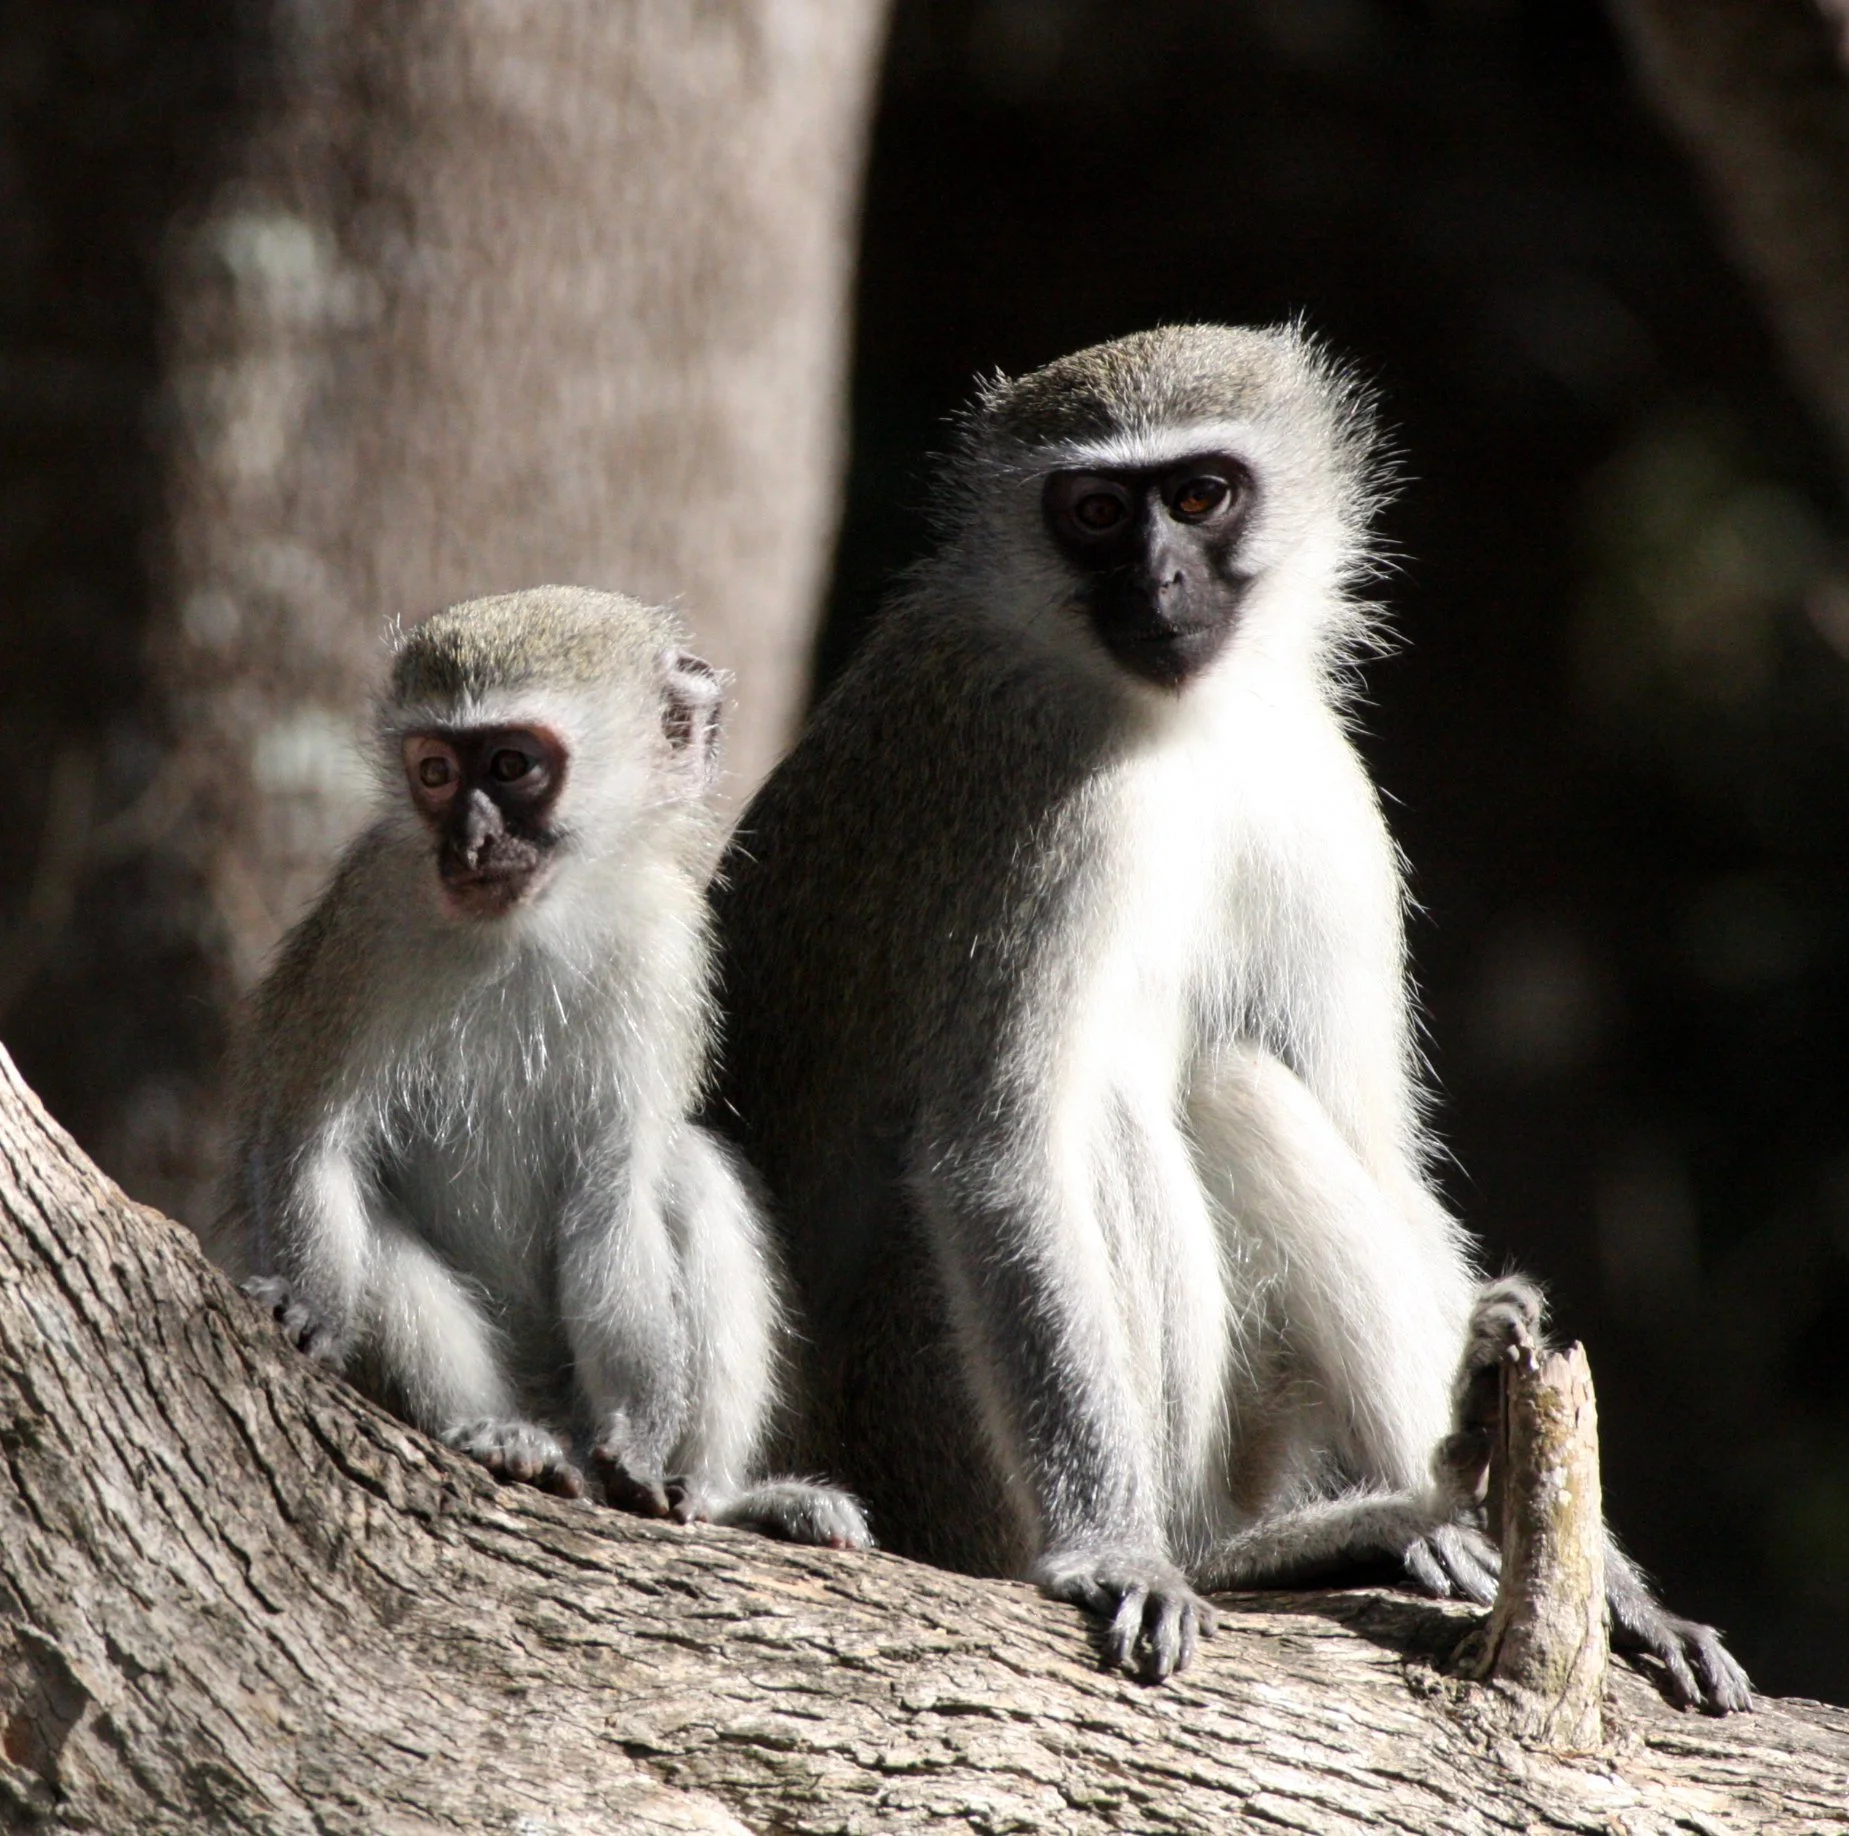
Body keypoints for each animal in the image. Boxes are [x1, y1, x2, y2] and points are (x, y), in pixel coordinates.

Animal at [217, 585, 869, 1552]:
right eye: (436, 773)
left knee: (691, 1174)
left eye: (511, 765)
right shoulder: (370, 918)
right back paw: (504, 1438)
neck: (531, 922)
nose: (468, 843)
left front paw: (644, 1435)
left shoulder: (661, 946)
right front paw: (312, 1306)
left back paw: (720, 1497)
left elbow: (612, 1188)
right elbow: (313, 1140)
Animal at [708, 326, 1750, 1706]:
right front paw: (1114, 1549)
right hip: (929, 1450)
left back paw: (1430, 1487)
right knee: (1121, 1108)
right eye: (1096, 513)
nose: (1157, 576)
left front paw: (1625, 1591)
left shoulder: (1320, 784)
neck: (1181, 720)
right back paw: (1229, 1549)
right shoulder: (1050, 822)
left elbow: (1375, 1149)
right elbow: (998, 1151)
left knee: (1241, 1087)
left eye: (1199, 495)